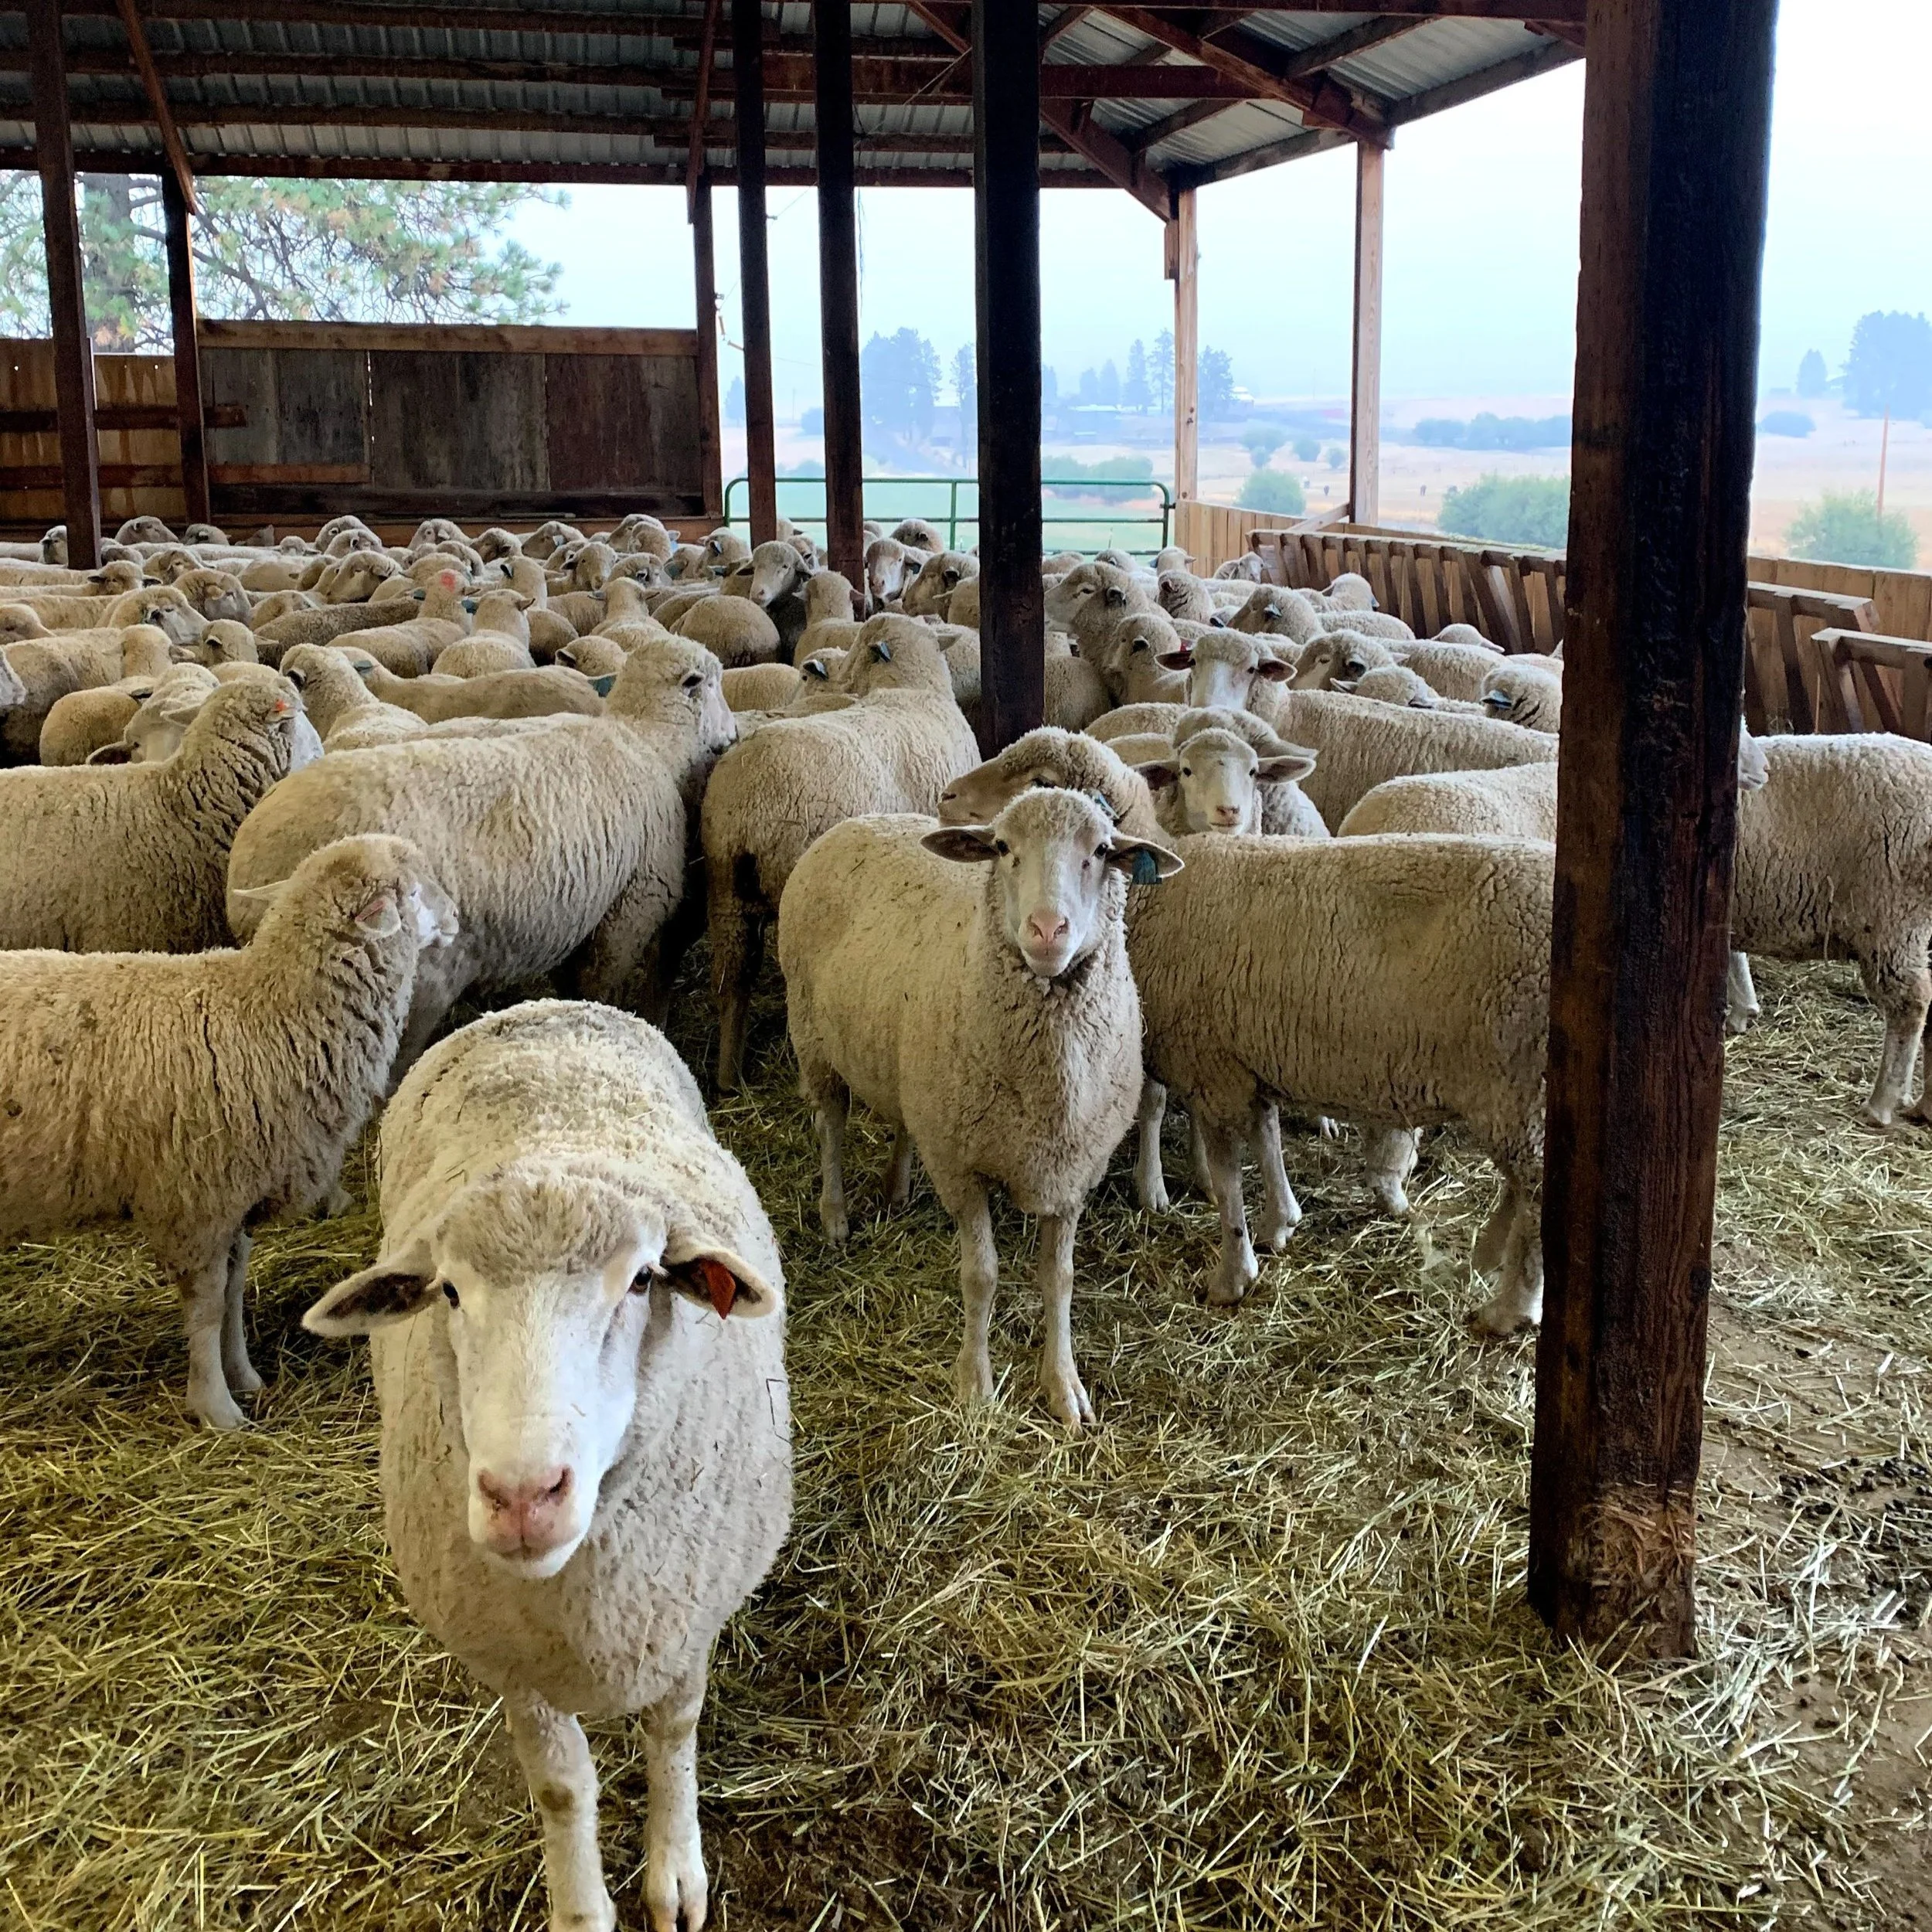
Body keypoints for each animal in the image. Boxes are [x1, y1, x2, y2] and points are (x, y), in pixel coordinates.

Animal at [0, 834, 453, 1429]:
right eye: (415, 890)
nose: (457, 918)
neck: (268, 1011)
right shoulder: (198, 1203)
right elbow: (208, 1305)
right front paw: (217, 1406)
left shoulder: (236, 1197)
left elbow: (236, 1290)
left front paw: (245, 1375)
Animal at [228, 638, 736, 1069]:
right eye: (713, 684)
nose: (732, 734)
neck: (647, 740)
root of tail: (248, 880)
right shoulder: (629, 908)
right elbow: (601, 987)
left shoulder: (580, 914)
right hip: (410, 985)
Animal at [300, 1000, 788, 1932]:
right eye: (449, 1292)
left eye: (641, 1280)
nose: (523, 1495)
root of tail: (539, 1006)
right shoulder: (512, 1659)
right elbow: (563, 1789)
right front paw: (581, 1906)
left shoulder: (689, 1610)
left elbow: (674, 1732)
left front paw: (675, 1869)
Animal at [701, 617, 982, 1089]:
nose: (835, 680)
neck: (911, 688)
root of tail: (748, 808)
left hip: (725, 892)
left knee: (732, 977)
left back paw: (728, 1075)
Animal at [779, 788, 1179, 1427]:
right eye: (1001, 847)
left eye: (1101, 851)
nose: (1046, 929)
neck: (1047, 1083)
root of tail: (862, 819)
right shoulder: (961, 1169)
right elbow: (981, 1276)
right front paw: (975, 1384)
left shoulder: (1071, 1168)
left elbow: (1059, 1278)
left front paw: (1064, 1385)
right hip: (813, 1038)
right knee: (830, 1128)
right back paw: (835, 1215)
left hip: (915, 1071)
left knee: (901, 1120)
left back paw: (897, 1186)